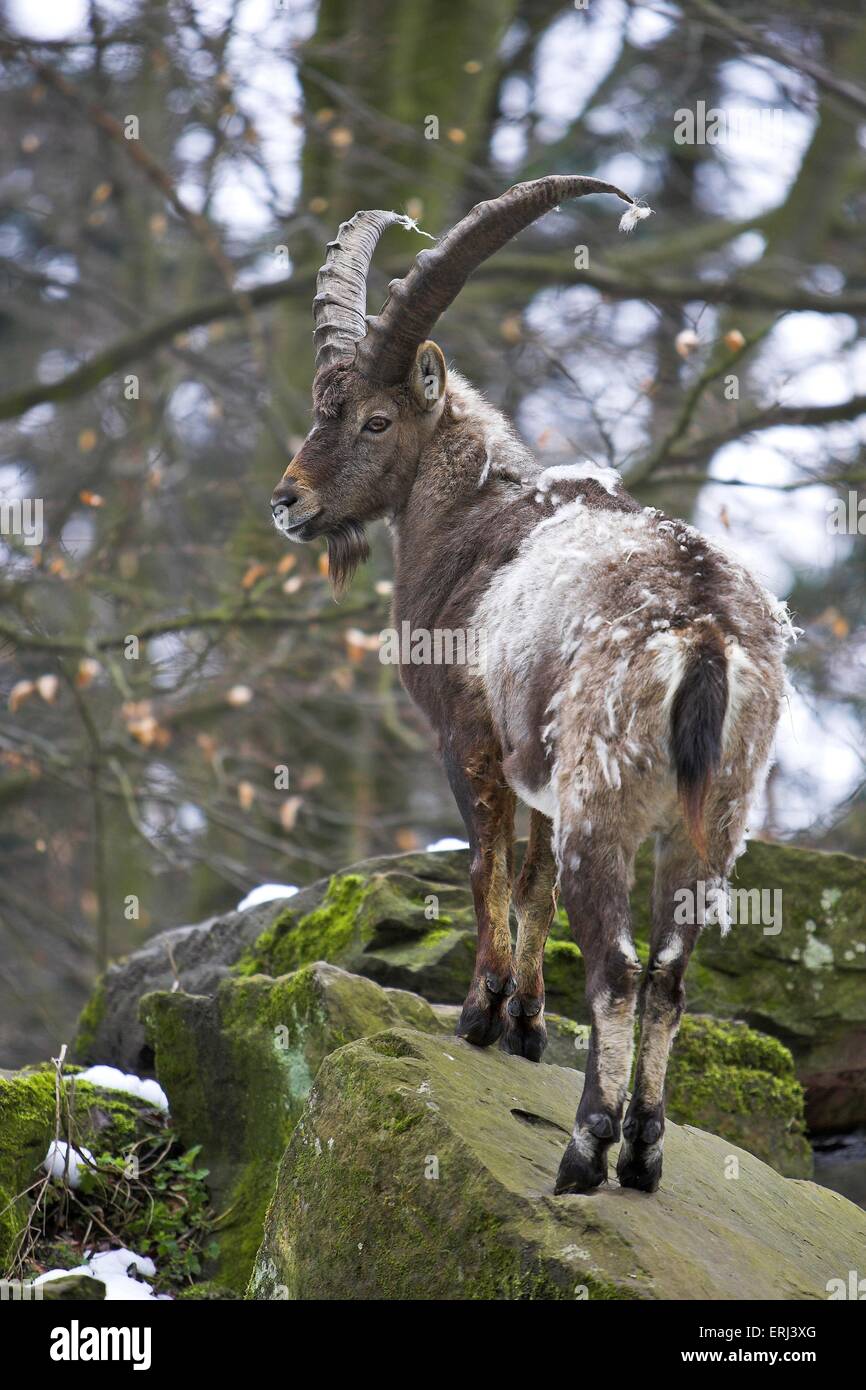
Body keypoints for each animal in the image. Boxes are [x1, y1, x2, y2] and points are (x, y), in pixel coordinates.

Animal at [270, 176, 791, 1194]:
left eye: (376, 419)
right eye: (321, 404)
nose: (288, 501)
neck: (473, 514)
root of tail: (706, 633)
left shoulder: (467, 736)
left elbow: (487, 868)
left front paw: (483, 1012)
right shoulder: (537, 764)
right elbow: (534, 881)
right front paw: (525, 1024)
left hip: (608, 798)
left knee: (620, 969)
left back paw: (587, 1150)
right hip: (713, 817)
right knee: (670, 972)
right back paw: (645, 1153)